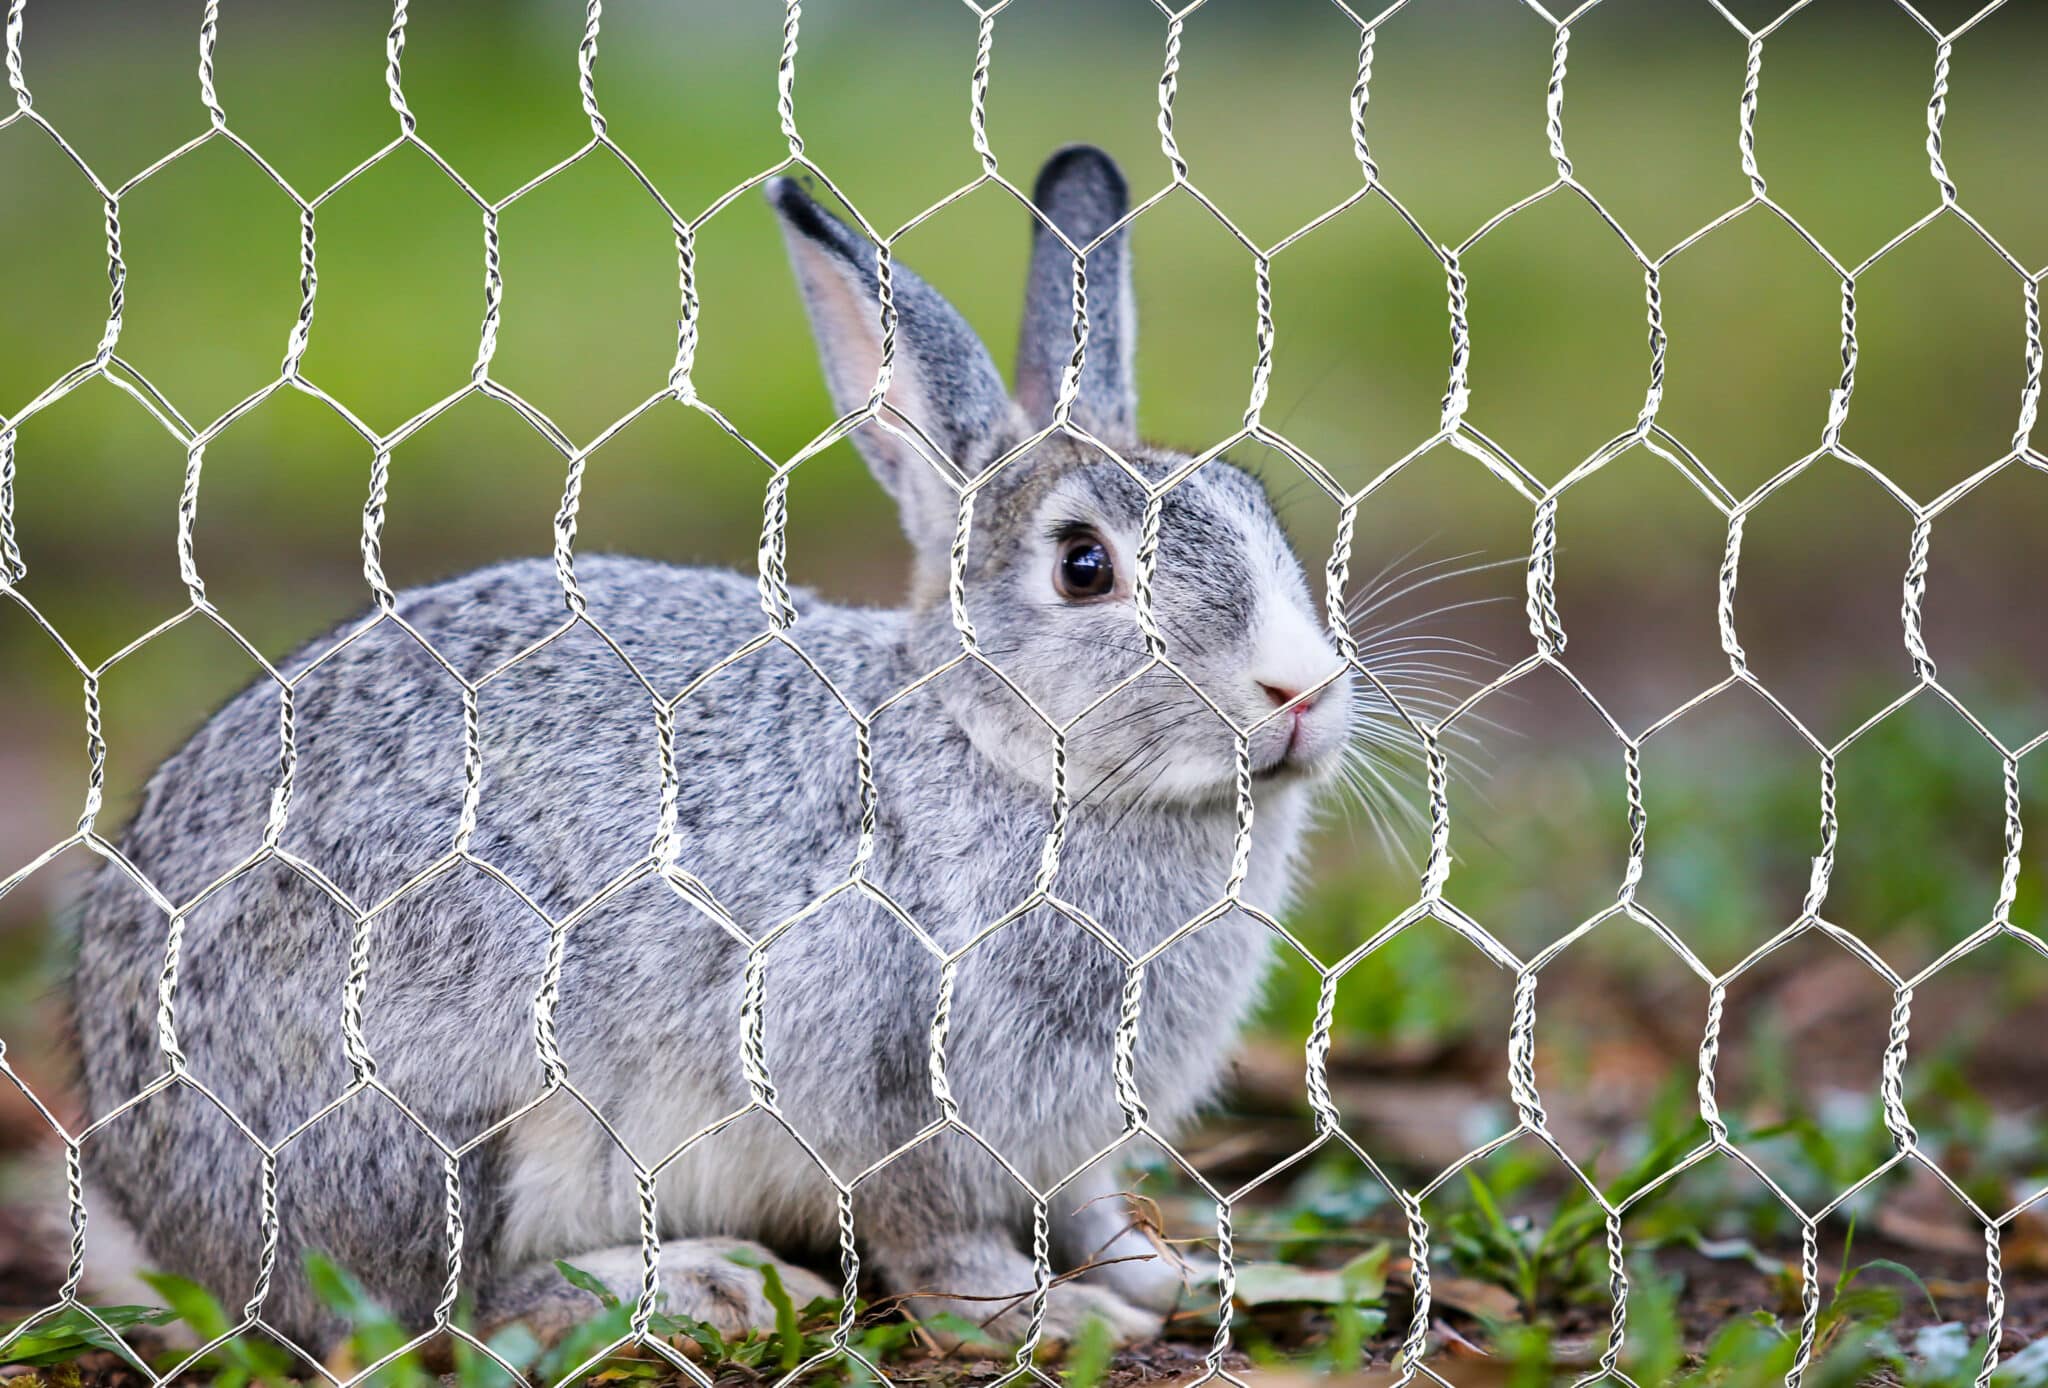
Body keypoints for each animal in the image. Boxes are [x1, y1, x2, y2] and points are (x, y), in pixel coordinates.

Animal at [67, 145, 1356, 1357]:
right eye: (1084, 566)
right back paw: (703, 1282)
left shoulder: (1073, 1140)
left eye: (1257, 513)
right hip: (453, 1103)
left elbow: (1087, 1207)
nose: (1301, 690)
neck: (1002, 753)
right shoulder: (891, 1095)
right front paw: (1052, 1316)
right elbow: (939, 1241)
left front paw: (1156, 1273)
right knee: (431, 1306)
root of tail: (157, 1186)